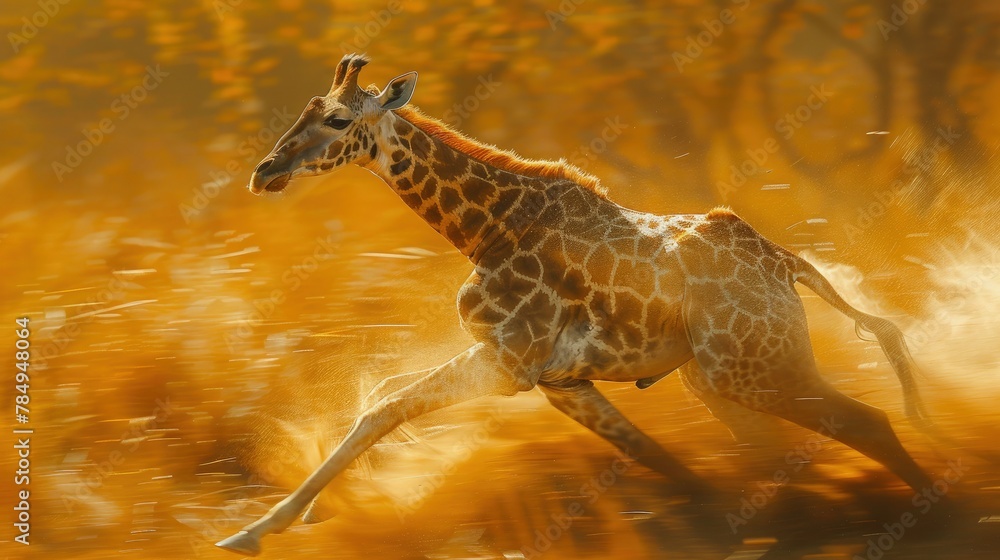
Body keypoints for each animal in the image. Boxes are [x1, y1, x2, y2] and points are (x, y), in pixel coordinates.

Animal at [216, 54, 936, 556]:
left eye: (338, 120)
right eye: (302, 112)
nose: (264, 172)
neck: (486, 229)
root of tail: (787, 264)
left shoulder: (512, 362)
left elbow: (382, 408)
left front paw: (256, 530)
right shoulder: (558, 379)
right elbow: (656, 456)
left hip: (758, 371)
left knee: (870, 423)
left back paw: (934, 508)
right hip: (720, 382)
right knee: (787, 449)